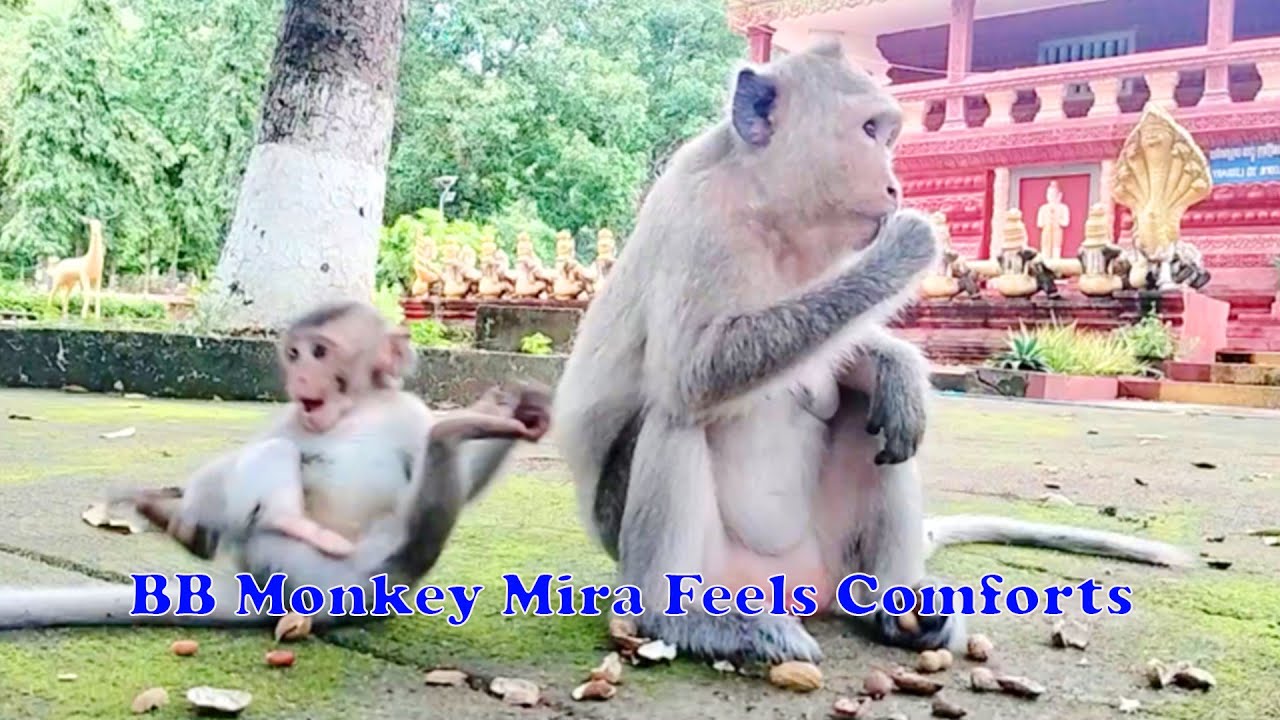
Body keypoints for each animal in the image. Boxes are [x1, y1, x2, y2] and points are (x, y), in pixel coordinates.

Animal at [550, 42, 1192, 666]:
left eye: (887, 136)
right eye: (868, 130)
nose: (894, 185)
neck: (771, 214)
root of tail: (783, 585)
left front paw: (896, 366)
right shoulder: (701, 216)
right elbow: (693, 371)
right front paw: (906, 247)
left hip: (829, 556)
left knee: (870, 417)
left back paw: (895, 607)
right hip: (690, 558)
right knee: (675, 416)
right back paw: (685, 619)